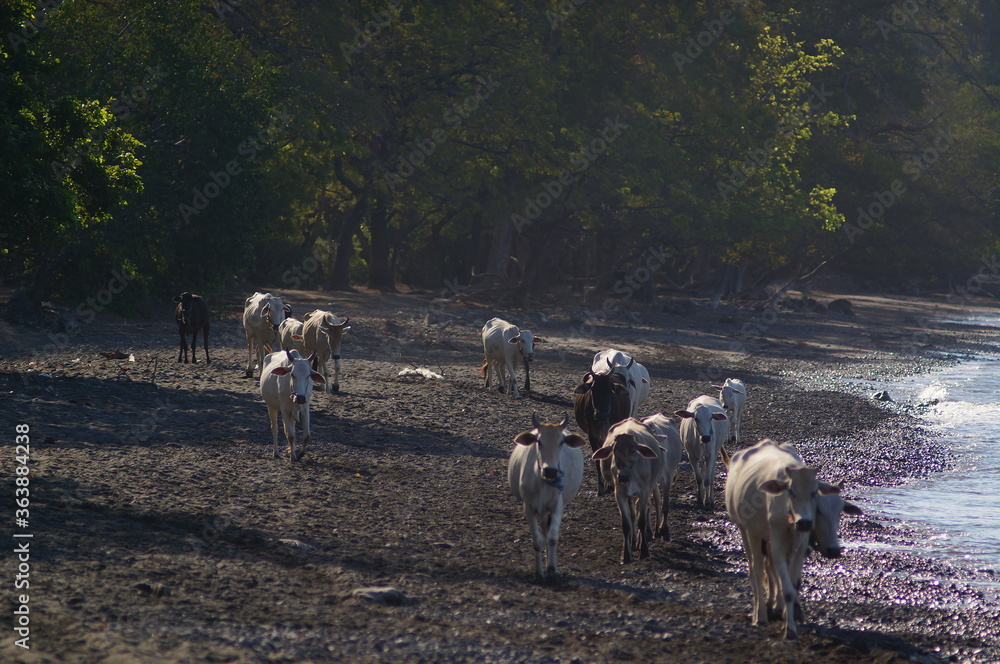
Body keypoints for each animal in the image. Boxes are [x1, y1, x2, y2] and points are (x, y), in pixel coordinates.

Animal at [507, 413, 587, 583]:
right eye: (539, 441)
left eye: (561, 442)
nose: (551, 470)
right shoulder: (529, 507)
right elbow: (537, 541)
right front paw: (539, 573)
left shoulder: (557, 506)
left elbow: (552, 538)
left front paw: (551, 569)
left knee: (548, 532)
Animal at [591, 418, 666, 564]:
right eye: (615, 452)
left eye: (633, 451)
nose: (623, 476)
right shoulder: (619, 494)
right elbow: (626, 524)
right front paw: (626, 554)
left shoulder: (644, 492)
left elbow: (642, 520)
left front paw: (644, 551)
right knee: (632, 515)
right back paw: (633, 542)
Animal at [724, 438, 842, 640]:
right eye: (791, 491)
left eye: (814, 493)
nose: (804, 522)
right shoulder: (776, 544)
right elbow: (786, 589)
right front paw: (790, 629)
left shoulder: (800, 546)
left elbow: (792, 585)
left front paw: (789, 616)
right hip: (747, 530)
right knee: (755, 570)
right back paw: (760, 616)